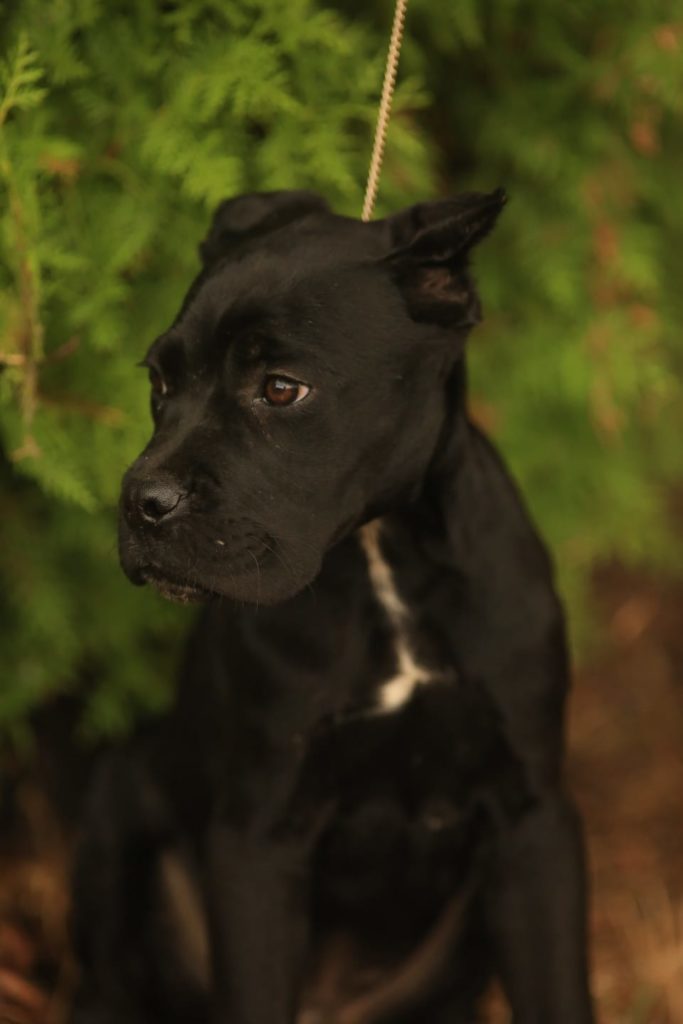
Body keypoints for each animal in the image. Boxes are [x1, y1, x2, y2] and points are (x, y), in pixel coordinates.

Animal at [70, 188, 593, 1019]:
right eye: (159, 383)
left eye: (281, 388)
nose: (140, 502)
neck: (378, 556)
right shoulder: (258, 833)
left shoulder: (532, 815)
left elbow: (556, 989)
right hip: (112, 797)